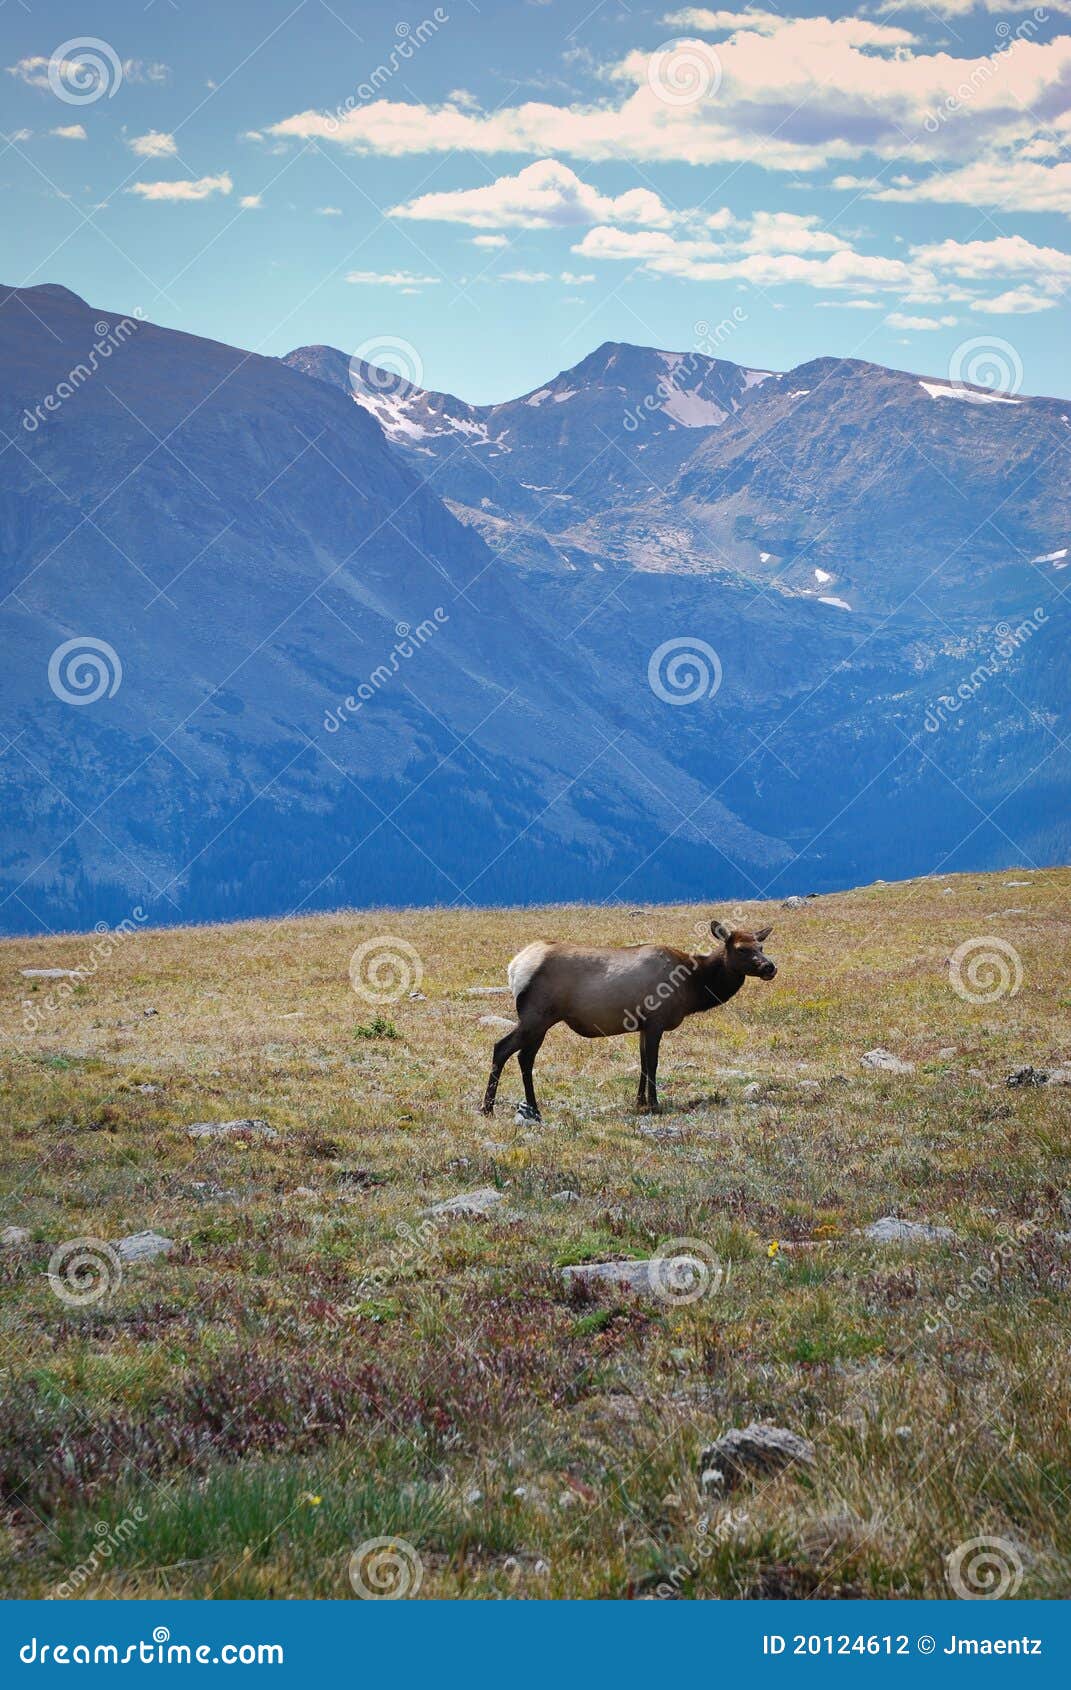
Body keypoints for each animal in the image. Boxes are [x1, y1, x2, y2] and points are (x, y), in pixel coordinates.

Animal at [480, 920, 776, 1121]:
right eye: (741, 949)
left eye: (761, 945)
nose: (769, 967)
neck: (693, 987)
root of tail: (514, 967)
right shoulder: (656, 1021)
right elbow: (653, 1063)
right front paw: (655, 1104)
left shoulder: (644, 1026)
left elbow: (643, 1063)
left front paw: (639, 1102)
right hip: (535, 1016)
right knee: (502, 1048)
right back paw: (488, 1107)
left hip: (541, 1021)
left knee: (525, 1057)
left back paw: (533, 1108)